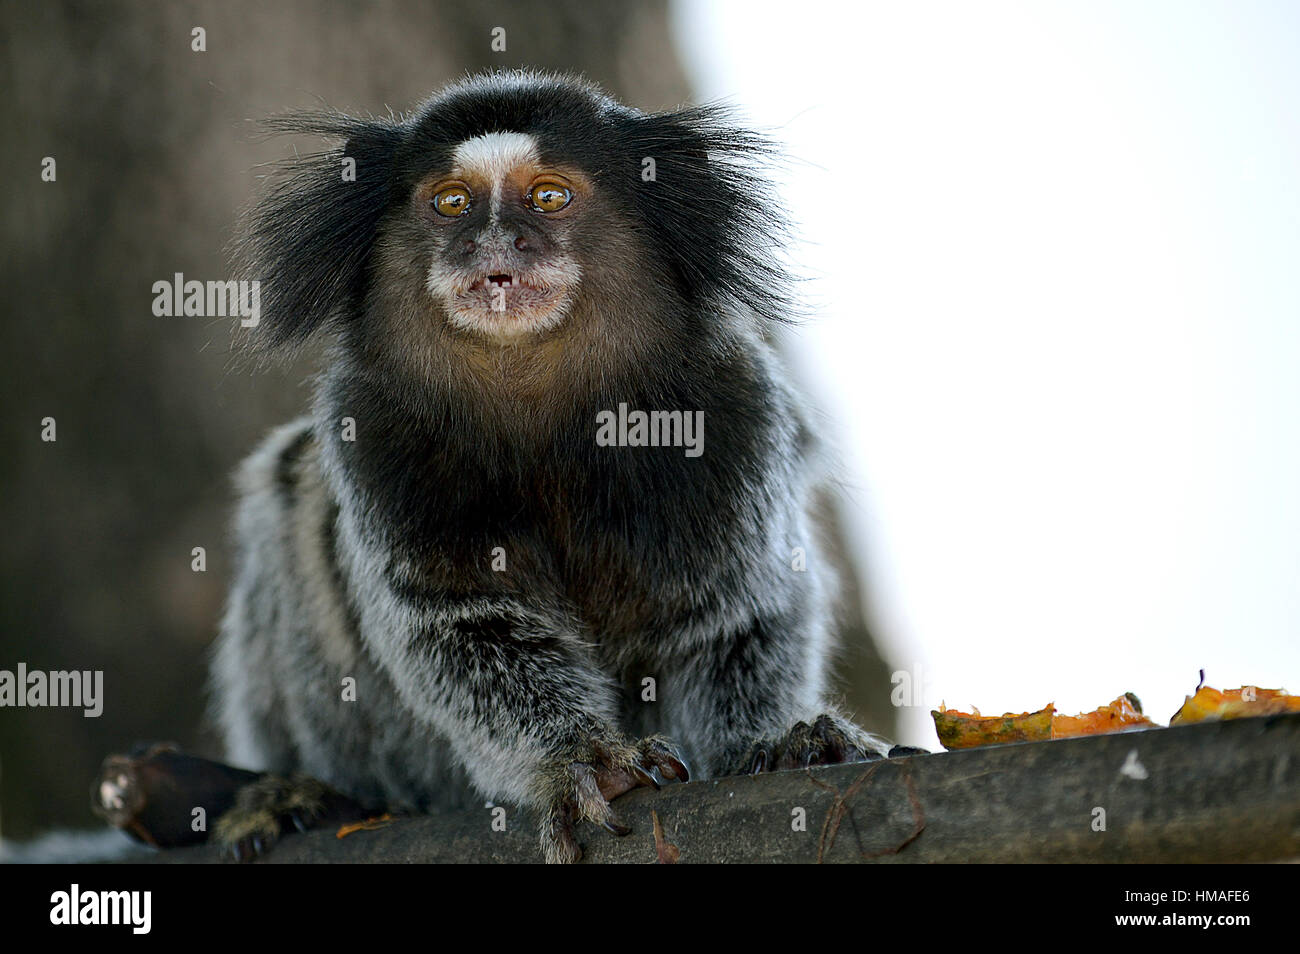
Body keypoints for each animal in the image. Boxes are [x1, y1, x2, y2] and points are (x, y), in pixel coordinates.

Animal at [211, 69, 904, 864]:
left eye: (548, 197)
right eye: (452, 203)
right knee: (293, 494)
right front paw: (583, 761)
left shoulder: (732, 402)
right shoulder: (370, 425)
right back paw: (310, 795)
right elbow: (456, 623)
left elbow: (737, 611)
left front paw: (772, 742)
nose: (492, 244)